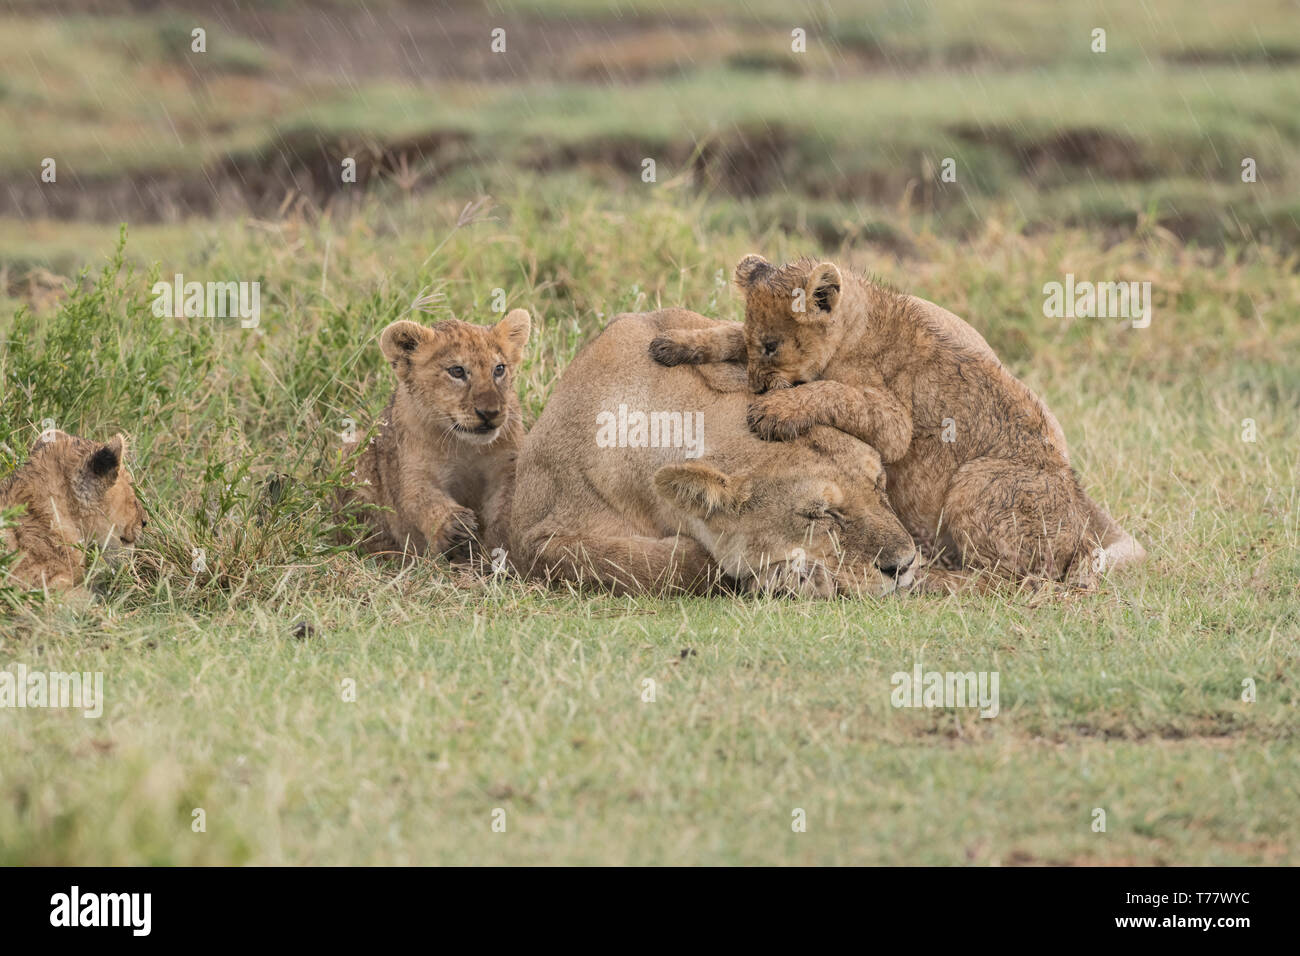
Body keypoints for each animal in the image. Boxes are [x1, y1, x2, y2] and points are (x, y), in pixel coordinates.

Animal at [340, 309, 531, 561]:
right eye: (457, 371)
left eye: (498, 369)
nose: (489, 413)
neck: (465, 446)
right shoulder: (414, 473)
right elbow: (423, 500)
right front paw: (454, 526)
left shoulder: (507, 466)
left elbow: (507, 505)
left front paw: (501, 547)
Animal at [511, 309, 917, 597]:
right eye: (818, 515)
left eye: (878, 484)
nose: (905, 565)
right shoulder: (532, 535)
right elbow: (640, 562)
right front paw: (791, 577)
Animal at [649, 256, 1145, 585]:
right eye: (757, 343)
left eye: (772, 346)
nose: (753, 386)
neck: (856, 326)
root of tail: (1081, 528)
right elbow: (725, 332)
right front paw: (674, 343)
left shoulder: (894, 422)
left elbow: (835, 393)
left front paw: (774, 412)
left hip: (975, 481)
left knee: (1013, 577)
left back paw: (940, 577)